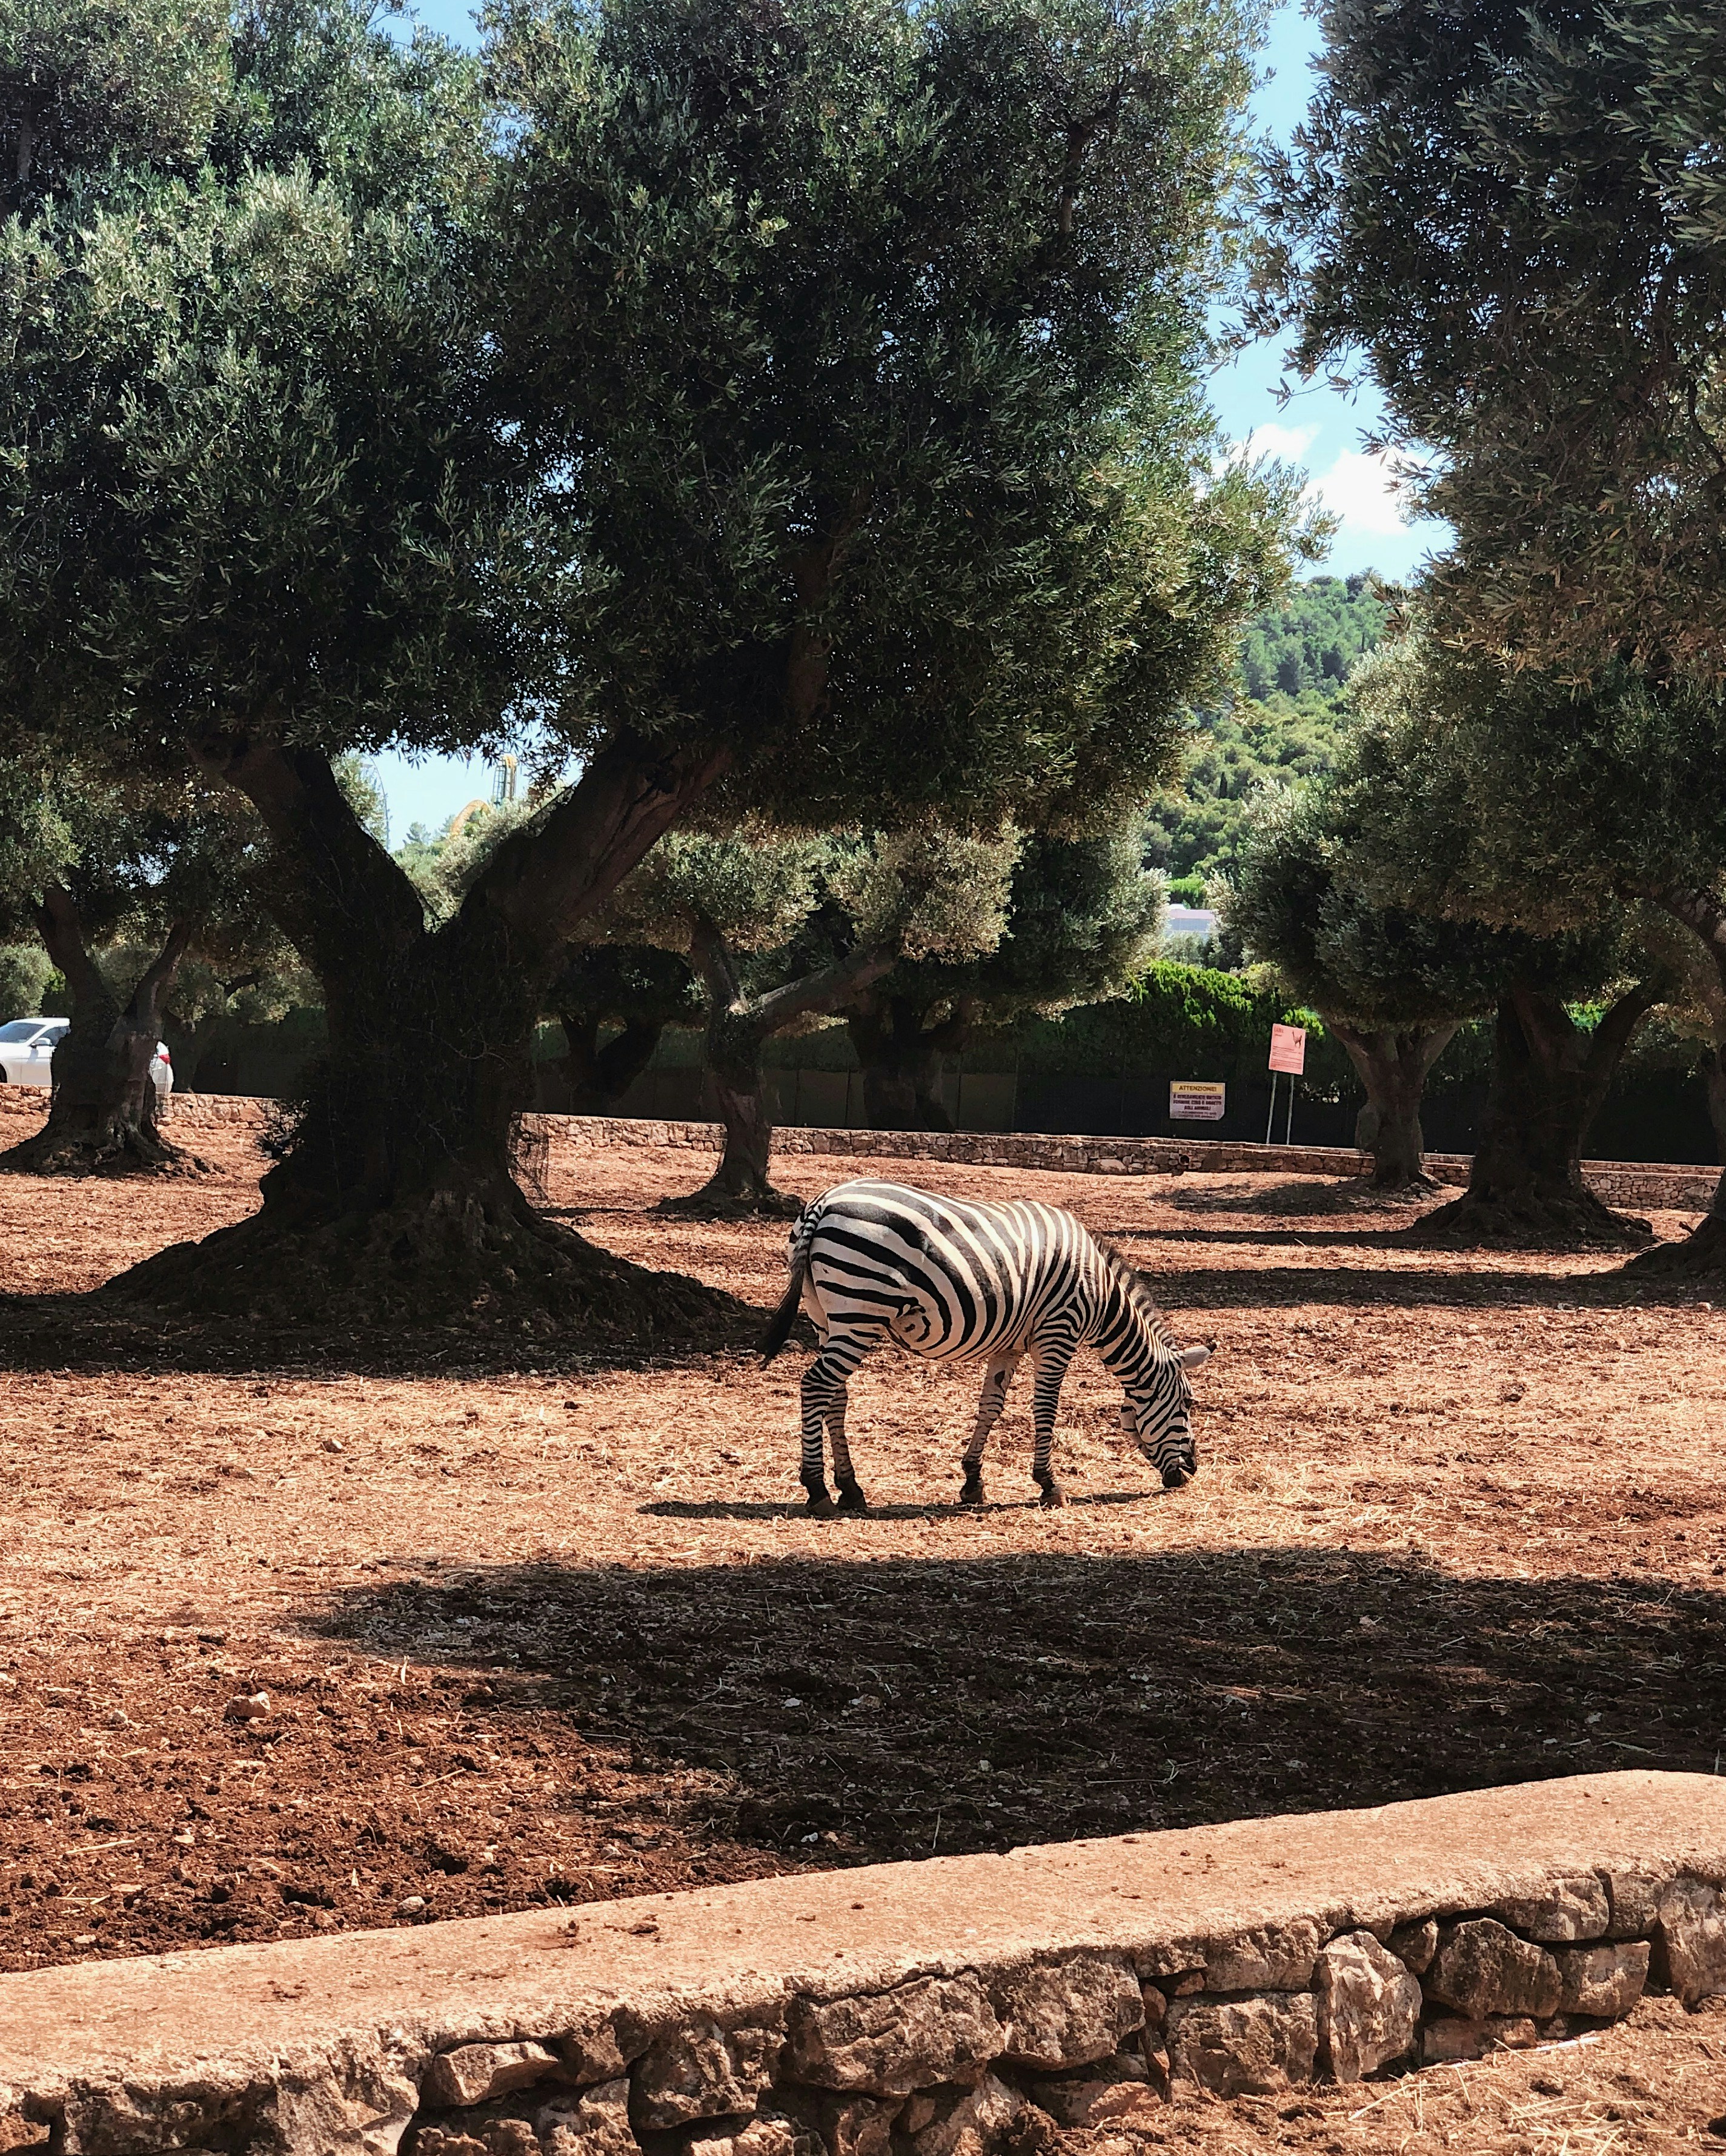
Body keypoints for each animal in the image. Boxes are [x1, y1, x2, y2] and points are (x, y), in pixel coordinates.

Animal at [759, 1178, 1211, 1511]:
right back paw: (817, 1491)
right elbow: (1045, 1408)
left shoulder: (1008, 1345)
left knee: (835, 1395)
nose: (1190, 1472)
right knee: (816, 1386)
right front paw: (1049, 1484)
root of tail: (824, 1201)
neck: (1100, 1295)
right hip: (860, 1311)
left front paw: (973, 1481)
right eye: (1188, 1404)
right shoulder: (1057, 1334)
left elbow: (990, 1406)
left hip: (826, 1316)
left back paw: (851, 1489)